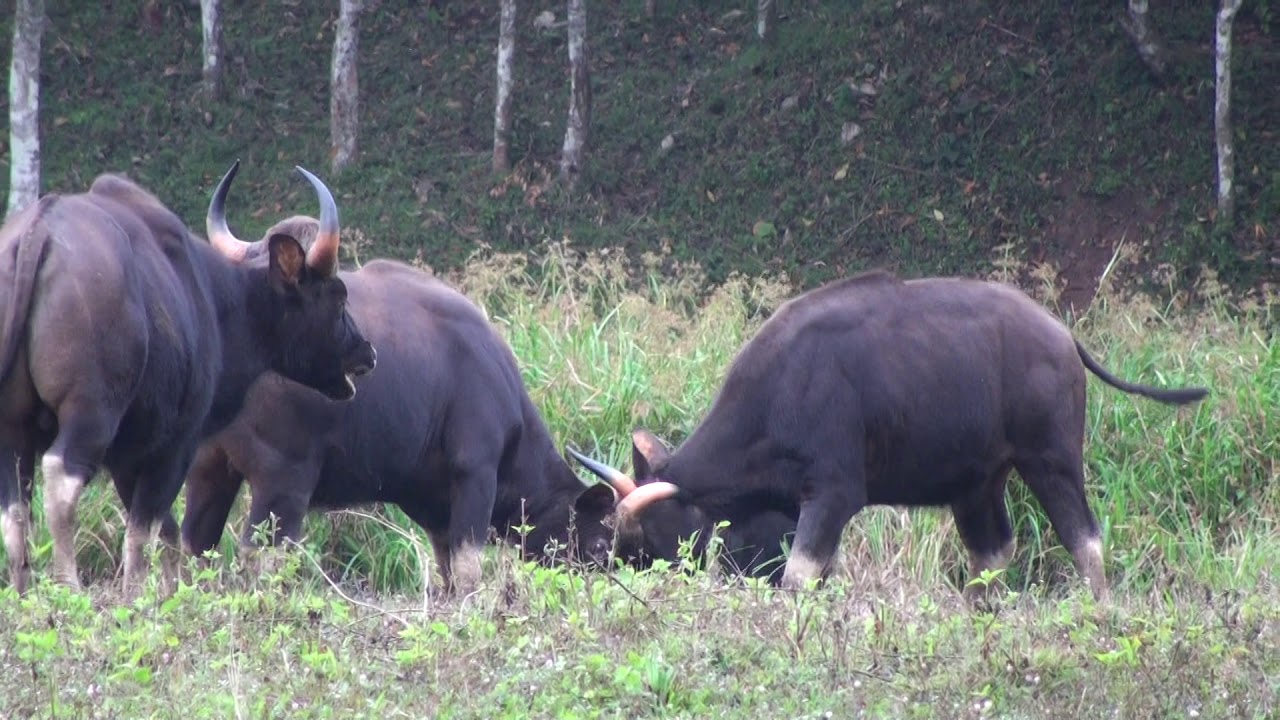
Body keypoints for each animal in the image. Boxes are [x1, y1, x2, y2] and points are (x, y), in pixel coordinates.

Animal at [0, 163, 375, 595]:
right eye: (339, 295)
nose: (367, 350)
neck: (218, 301)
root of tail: (38, 232)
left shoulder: (128, 457)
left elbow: (163, 531)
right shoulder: (173, 444)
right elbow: (146, 531)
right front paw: (140, 596)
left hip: (12, 429)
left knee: (15, 507)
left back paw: (23, 590)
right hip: (90, 413)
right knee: (61, 477)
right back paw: (69, 586)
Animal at [179, 183, 616, 595]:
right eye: (599, 544)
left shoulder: (432, 507)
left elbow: (448, 571)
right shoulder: (476, 471)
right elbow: (469, 571)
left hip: (206, 465)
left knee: (192, 547)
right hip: (283, 478)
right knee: (261, 556)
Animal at [571, 271, 1208, 599]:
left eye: (651, 538)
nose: (638, 587)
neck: (779, 393)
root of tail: (1060, 334)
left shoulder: (833, 493)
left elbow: (798, 579)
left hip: (1050, 459)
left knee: (1085, 541)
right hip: (977, 484)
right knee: (992, 551)